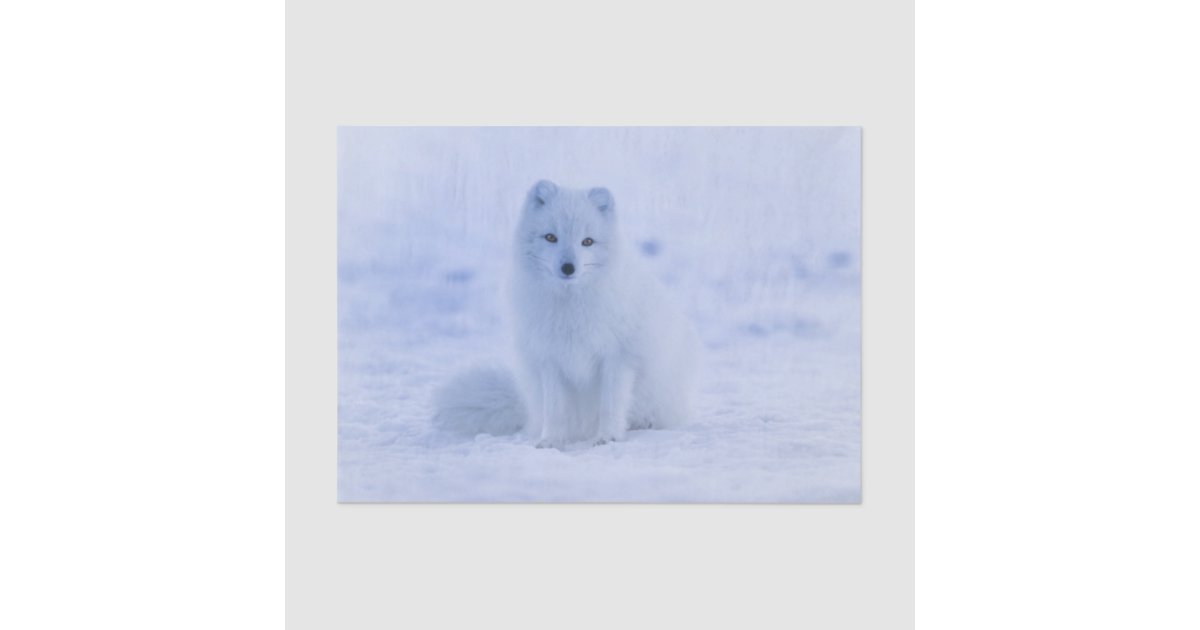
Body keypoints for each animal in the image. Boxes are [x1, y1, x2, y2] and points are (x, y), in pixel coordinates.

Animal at [433, 180, 699, 447]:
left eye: (587, 241)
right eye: (551, 237)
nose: (568, 267)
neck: (569, 308)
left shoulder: (617, 357)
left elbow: (610, 405)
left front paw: (607, 437)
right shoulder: (550, 359)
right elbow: (555, 409)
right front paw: (550, 441)